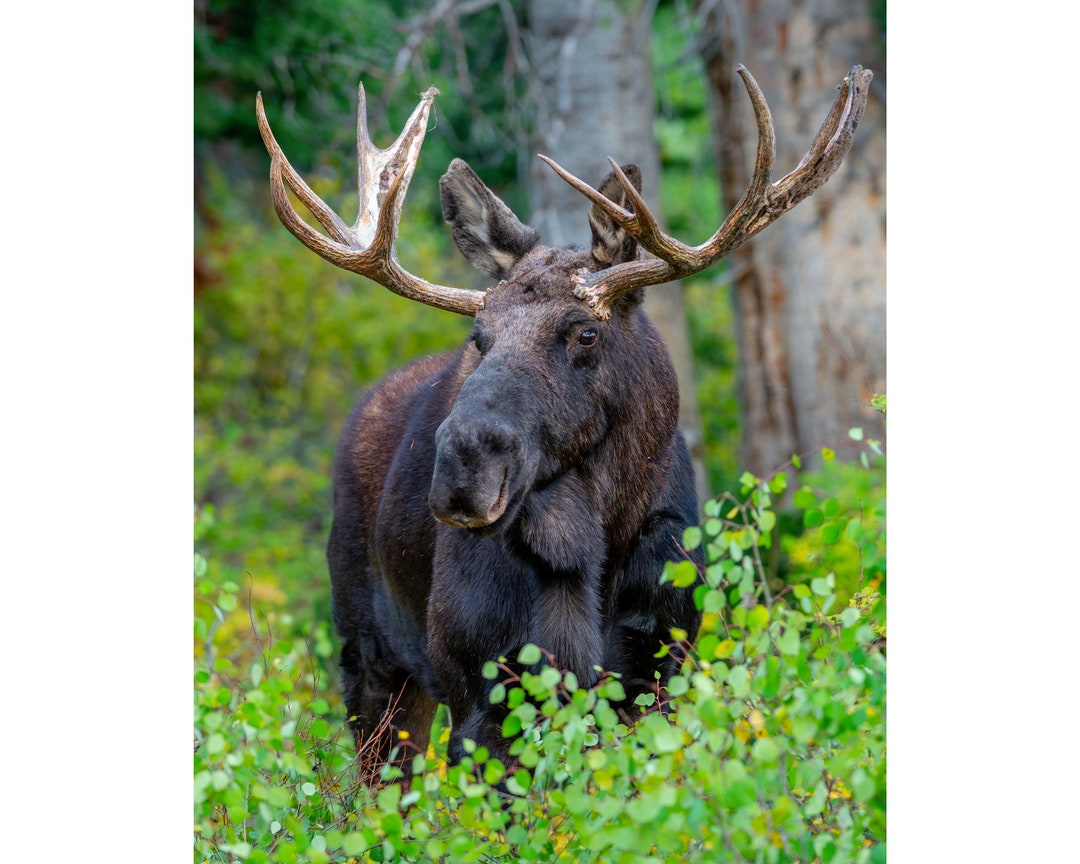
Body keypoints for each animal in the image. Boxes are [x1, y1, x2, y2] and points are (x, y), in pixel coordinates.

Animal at [255, 64, 872, 770]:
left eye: (584, 333)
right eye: (480, 337)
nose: (463, 467)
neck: (598, 543)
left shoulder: (658, 674)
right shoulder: (483, 693)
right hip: (369, 654)